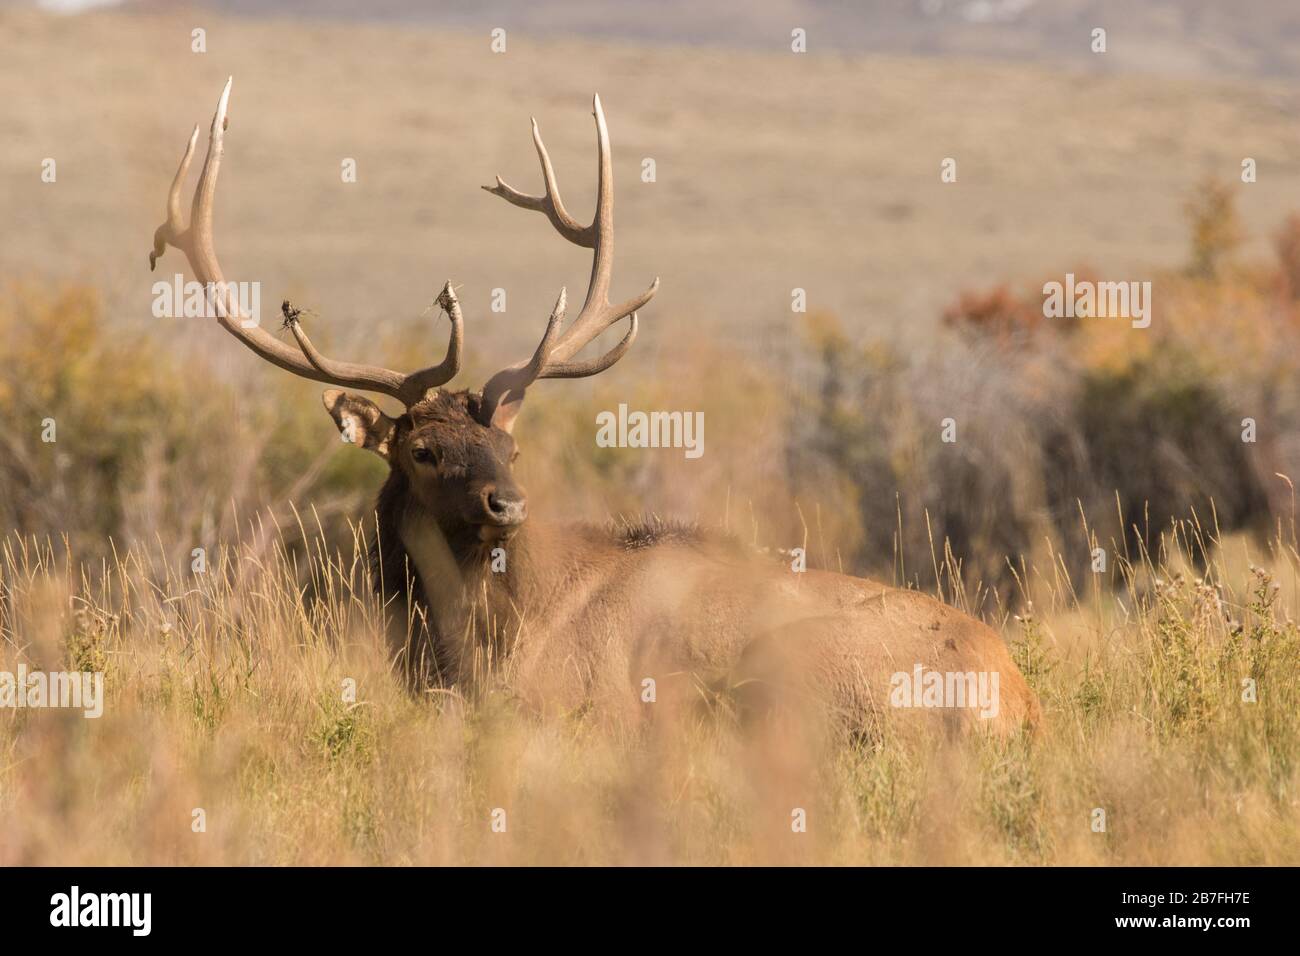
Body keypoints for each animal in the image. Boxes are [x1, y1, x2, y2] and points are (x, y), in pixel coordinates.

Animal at [150, 79, 1040, 738]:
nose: (507, 504)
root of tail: (1017, 698)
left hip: (789, 669)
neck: (469, 647)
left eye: (512, 449)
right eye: (421, 451)